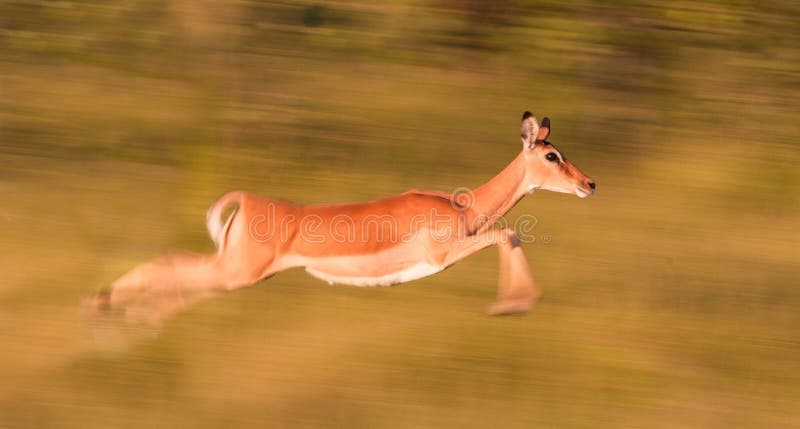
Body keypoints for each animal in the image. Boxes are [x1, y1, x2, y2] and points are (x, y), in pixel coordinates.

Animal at [94, 112, 594, 325]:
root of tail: (246, 199)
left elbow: (509, 236)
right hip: (237, 272)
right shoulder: (443, 255)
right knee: (168, 270)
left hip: (237, 271)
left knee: (168, 269)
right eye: (552, 155)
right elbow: (509, 234)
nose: (589, 184)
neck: (462, 206)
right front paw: (508, 306)